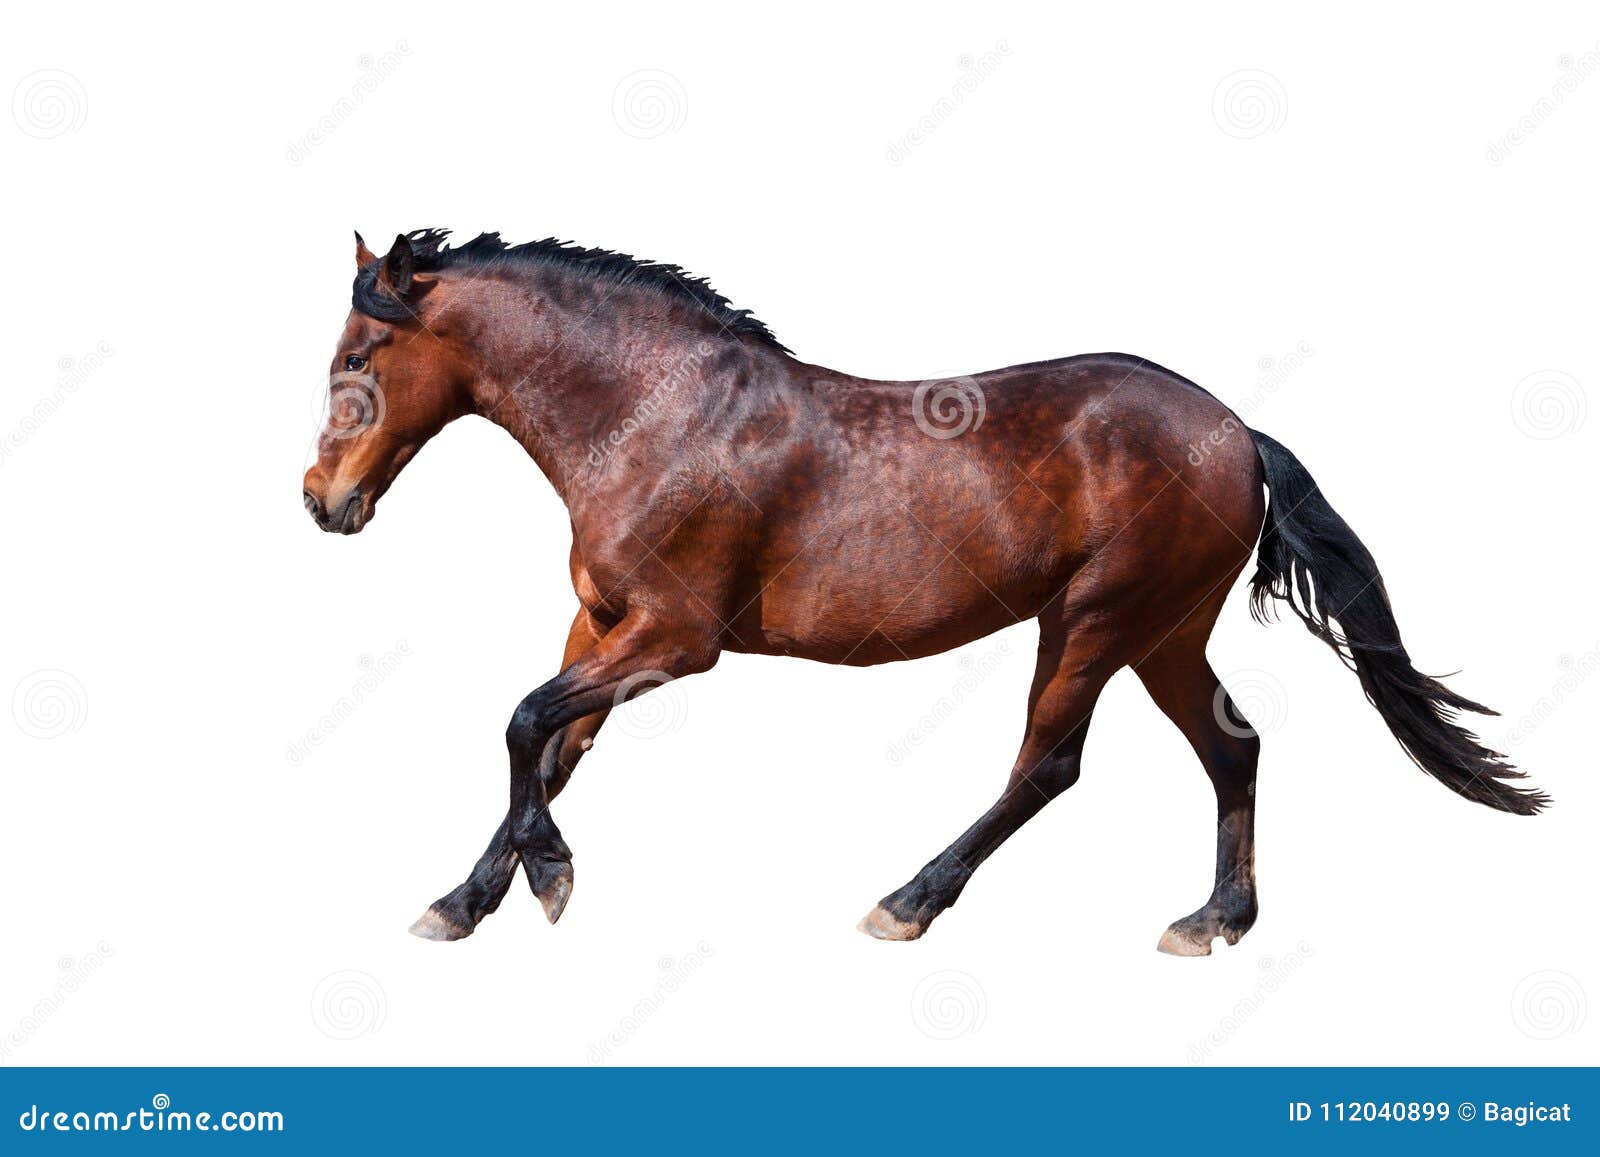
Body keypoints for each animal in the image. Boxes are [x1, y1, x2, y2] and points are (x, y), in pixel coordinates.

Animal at [302, 229, 1546, 955]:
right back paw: (1212, 920)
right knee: (1229, 745)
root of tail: (1237, 431)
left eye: (359, 355)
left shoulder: (672, 637)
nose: (321, 499)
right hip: (1160, 633)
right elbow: (553, 747)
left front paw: (546, 881)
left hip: (1095, 621)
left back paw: (906, 901)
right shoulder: (601, 622)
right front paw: (466, 901)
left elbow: (524, 720)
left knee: (1049, 764)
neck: (653, 413)